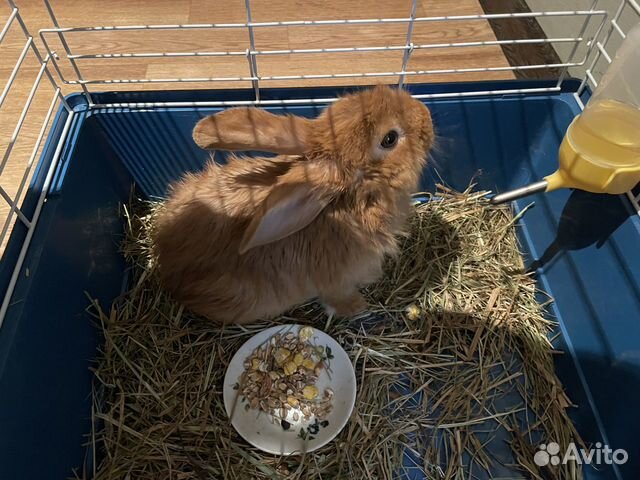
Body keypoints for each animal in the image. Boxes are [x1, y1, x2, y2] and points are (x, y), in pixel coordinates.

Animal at [151, 84, 434, 324]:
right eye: (390, 139)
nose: (426, 113)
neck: (352, 199)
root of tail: (164, 263)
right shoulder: (337, 281)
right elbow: (337, 298)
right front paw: (358, 307)